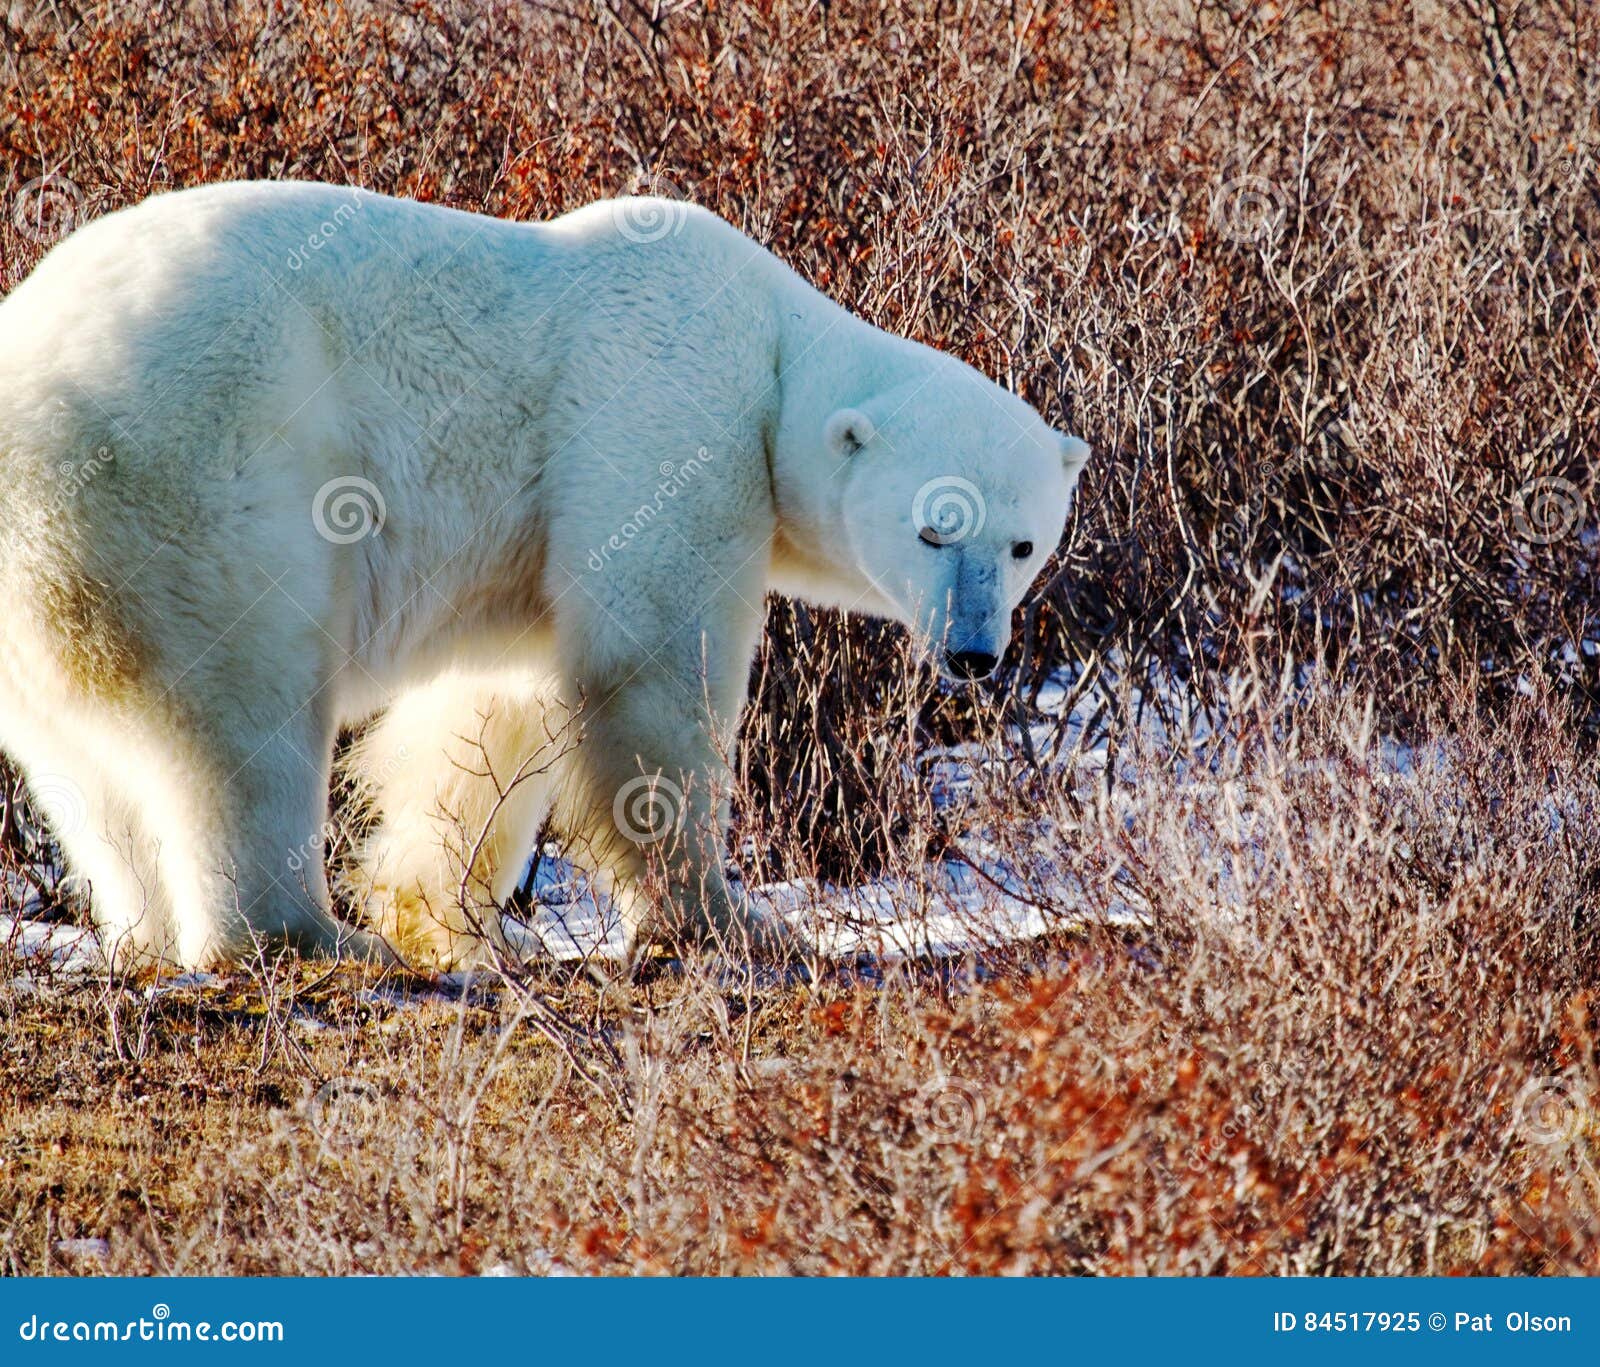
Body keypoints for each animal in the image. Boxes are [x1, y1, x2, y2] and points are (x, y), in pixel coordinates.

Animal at [0, 181, 1092, 970]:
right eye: (933, 530)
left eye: (1020, 544)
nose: (973, 653)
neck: (775, 346)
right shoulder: (665, 407)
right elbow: (649, 664)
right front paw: (728, 920)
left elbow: (493, 711)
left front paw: (449, 916)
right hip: (201, 473)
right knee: (244, 712)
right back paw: (305, 936)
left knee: (88, 771)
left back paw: (146, 934)